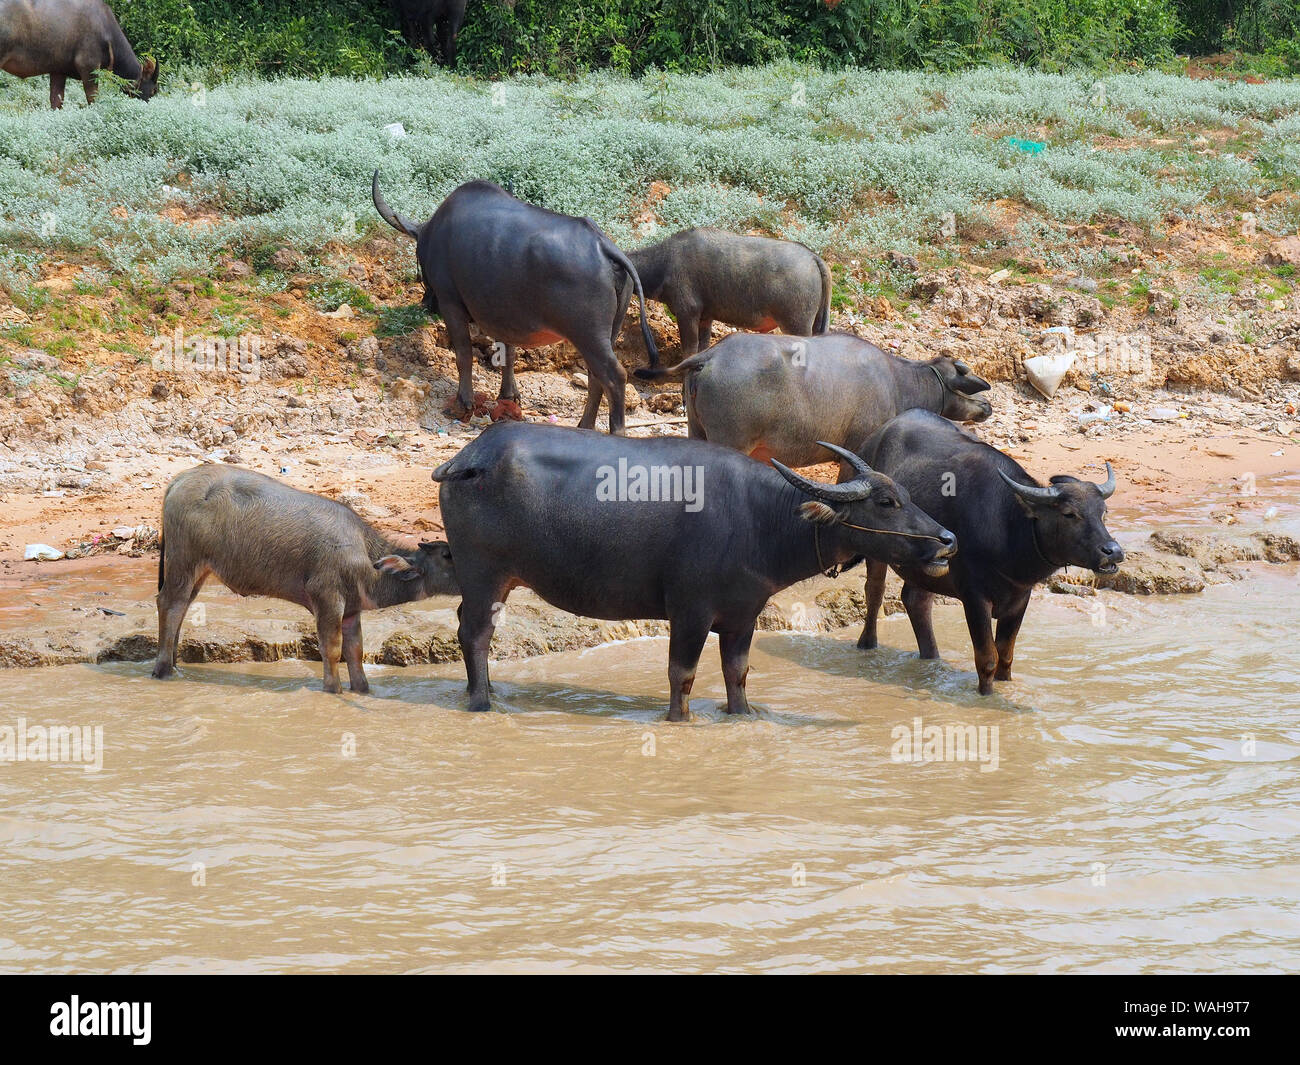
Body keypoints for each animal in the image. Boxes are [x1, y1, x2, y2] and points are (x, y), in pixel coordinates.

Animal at [373, 173, 658, 435]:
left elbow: (464, 354)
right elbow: (508, 354)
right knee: (595, 377)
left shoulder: (450, 302)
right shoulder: (504, 315)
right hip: (607, 333)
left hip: (589, 334)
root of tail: (604, 246)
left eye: (418, 256)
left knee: (614, 376)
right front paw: (508, 395)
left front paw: (463, 403)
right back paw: (584, 427)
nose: (427, 303)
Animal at [434, 421, 956, 720]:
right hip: (484, 573)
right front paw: (679, 721)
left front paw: (742, 715)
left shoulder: (743, 616)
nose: (947, 540)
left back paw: (485, 690)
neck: (759, 519)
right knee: (474, 633)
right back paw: (481, 703)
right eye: (886, 502)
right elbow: (681, 674)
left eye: (906, 494)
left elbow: (737, 672)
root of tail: (469, 458)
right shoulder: (690, 612)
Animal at [852, 410, 1123, 694]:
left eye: (1103, 512)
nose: (1113, 551)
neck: (1009, 528)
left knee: (916, 600)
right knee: (875, 592)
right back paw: (867, 644)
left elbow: (1005, 655)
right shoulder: (974, 597)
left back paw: (931, 658)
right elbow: (987, 659)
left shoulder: (1020, 598)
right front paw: (986, 695)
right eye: (1069, 514)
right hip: (875, 549)